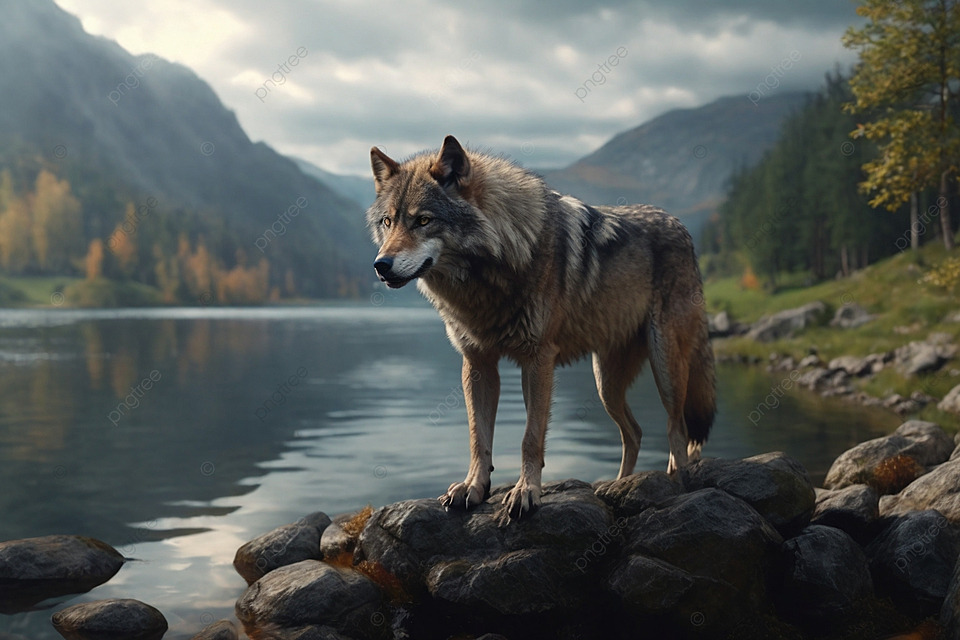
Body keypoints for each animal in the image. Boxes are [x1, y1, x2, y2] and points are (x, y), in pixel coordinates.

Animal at [366, 135, 715, 519]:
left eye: (423, 220)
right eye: (388, 221)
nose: (381, 265)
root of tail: (680, 226)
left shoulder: (538, 360)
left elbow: (530, 437)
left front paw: (526, 492)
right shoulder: (478, 364)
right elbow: (477, 436)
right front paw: (474, 487)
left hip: (665, 367)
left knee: (677, 429)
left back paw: (677, 482)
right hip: (606, 385)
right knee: (635, 433)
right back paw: (618, 485)